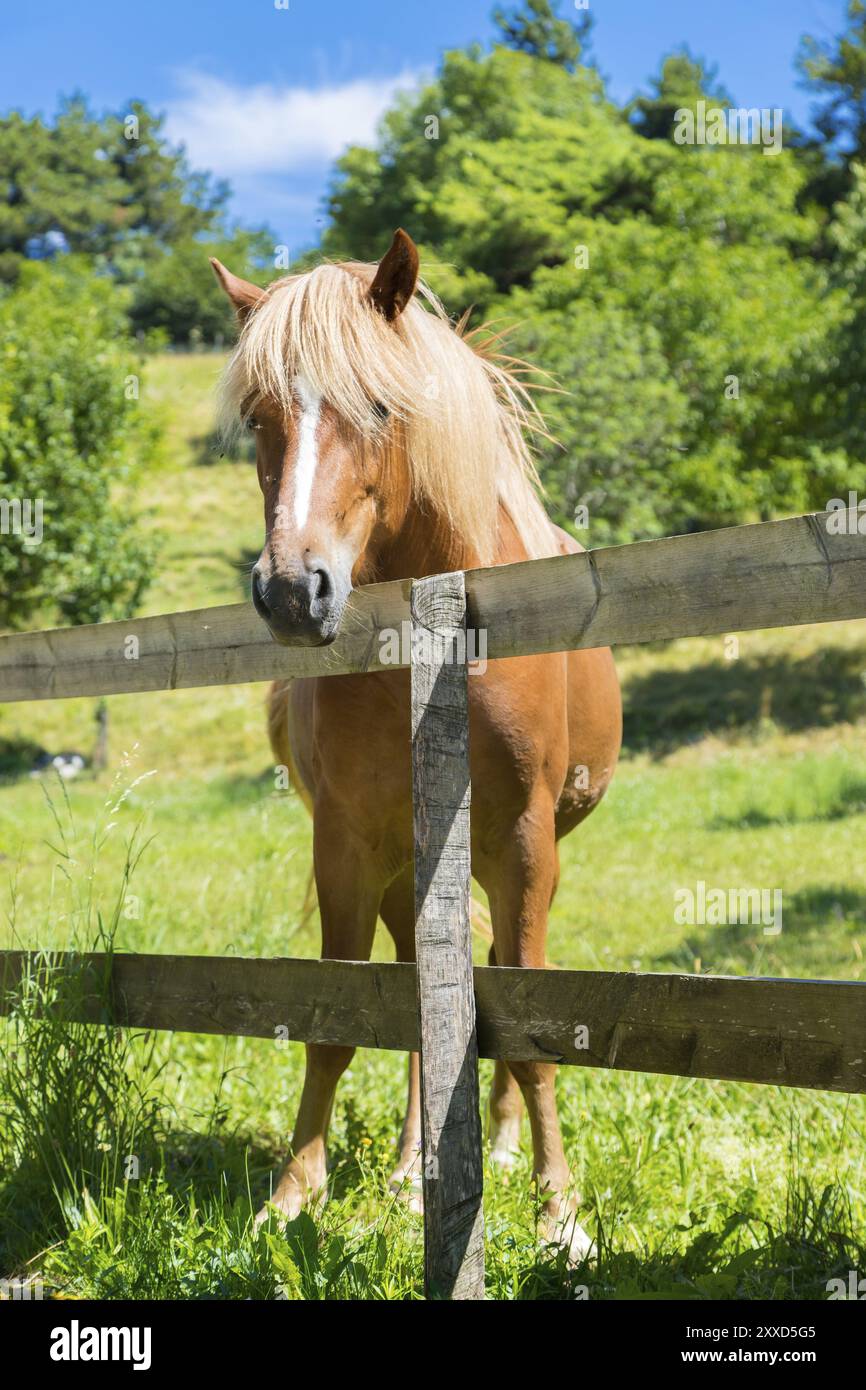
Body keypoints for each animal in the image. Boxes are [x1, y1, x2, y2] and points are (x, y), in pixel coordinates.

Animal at [210, 230, 622, 1261]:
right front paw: (292, 1197)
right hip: (408, 868)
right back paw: (406, 1174)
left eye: (379, 405)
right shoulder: (349, 842)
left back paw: (502, 1152)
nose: (293, 591)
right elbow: (342, 1019)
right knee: (418, 1001)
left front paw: (561, 1213)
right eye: (259, 416)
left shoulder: (524, 841)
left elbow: (530, 1018)